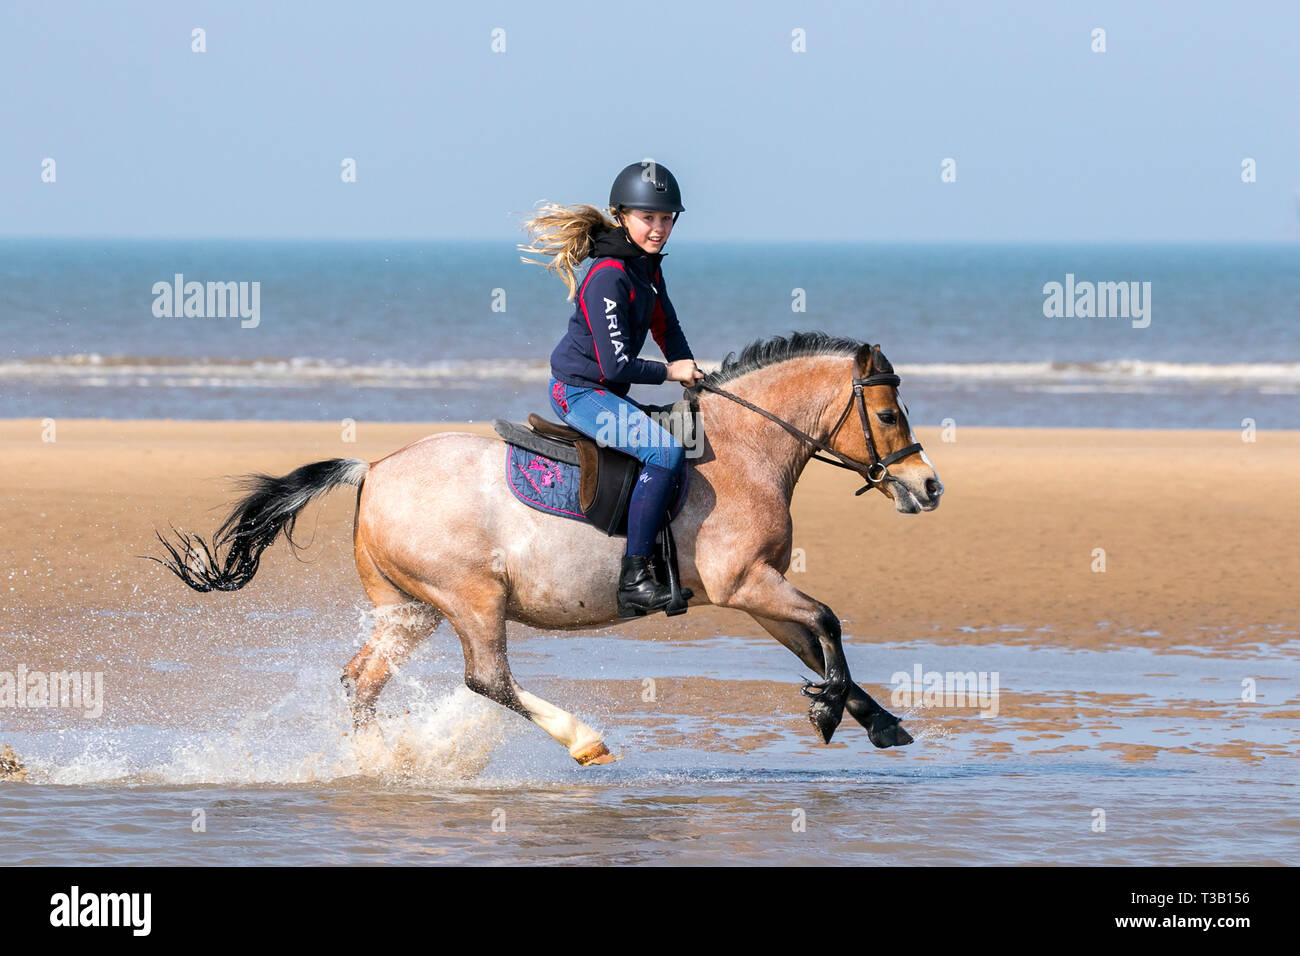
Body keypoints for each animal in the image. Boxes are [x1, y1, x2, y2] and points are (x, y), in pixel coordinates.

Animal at [152, 332, 943, 766]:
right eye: (887, 413)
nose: (929, 486)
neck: (743, 450)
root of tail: (372, 468)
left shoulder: (759, 593)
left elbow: (815, 642)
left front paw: (874, 720)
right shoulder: (745, 583)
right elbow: (829, 621)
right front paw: (829, 712)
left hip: (411, 610)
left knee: (360, 682)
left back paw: (382, 762)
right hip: (471, 599)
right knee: (487, 681)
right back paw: (583, 740)